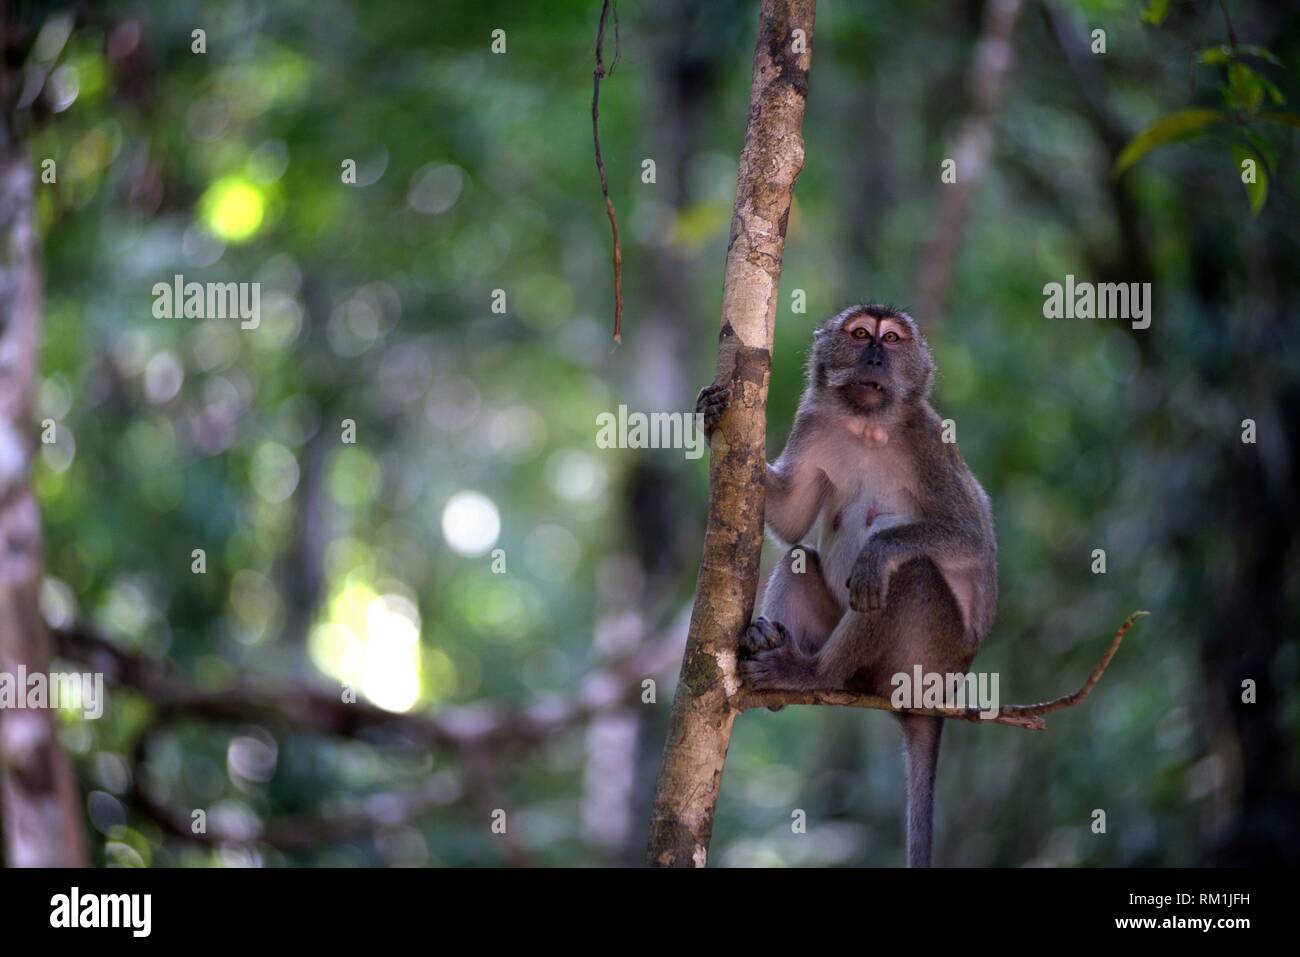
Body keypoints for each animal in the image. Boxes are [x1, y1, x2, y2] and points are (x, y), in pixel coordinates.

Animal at [696, 303, 997, 867]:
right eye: (860, 335)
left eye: (892, 339)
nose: (875, 356)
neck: (865, 424)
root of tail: (947, 691)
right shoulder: (814, 422)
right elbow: (792, 522)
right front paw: (710, 418)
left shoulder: (930, 439)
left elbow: (973, 540)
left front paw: (879, 552)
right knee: (800, 557)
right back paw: (770, 654)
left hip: (927, 660)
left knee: (910, 576)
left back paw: (809, 673)